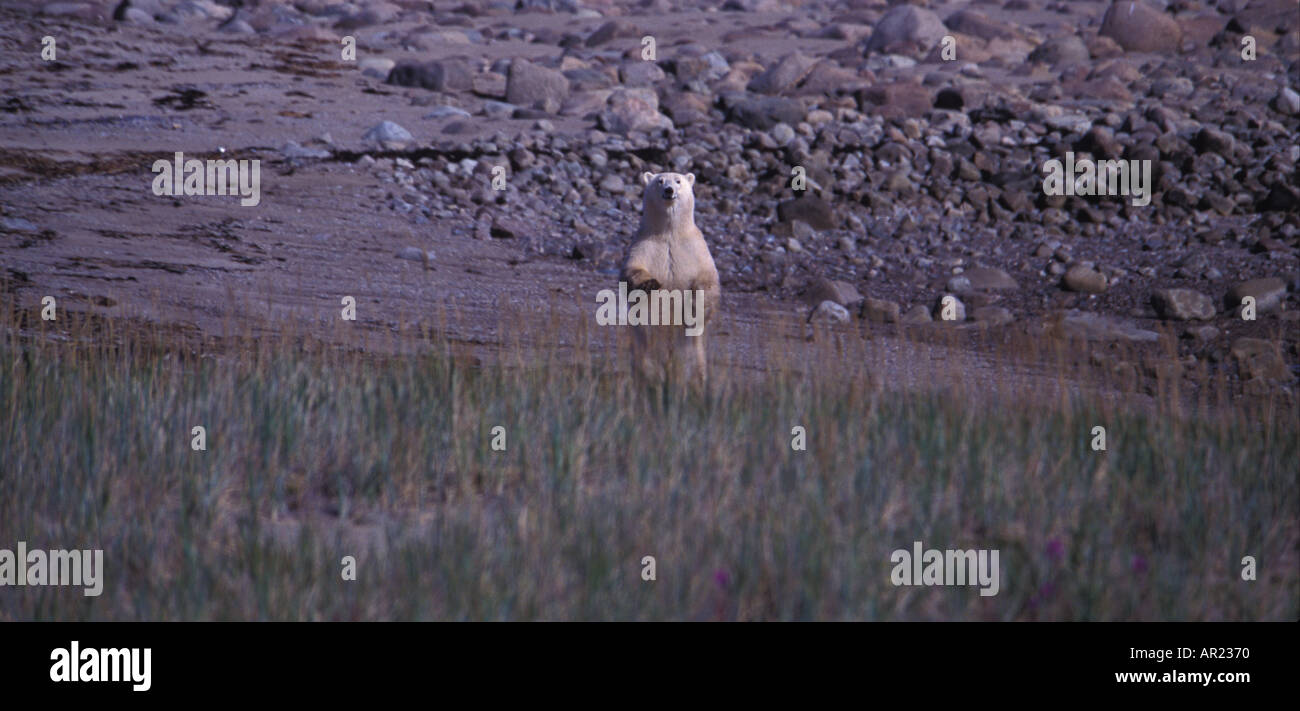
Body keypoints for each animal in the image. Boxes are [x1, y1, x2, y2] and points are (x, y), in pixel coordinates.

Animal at [620, 171, 721, 385]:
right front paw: (649, 283)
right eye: (660, 181)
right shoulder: (644, 244)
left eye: (678, 181)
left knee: (695, 373)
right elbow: (630, 271)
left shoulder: (696, 249)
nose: (669, 190)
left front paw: (694, 305)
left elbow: (708, 280)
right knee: (646, 369)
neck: (669, 233)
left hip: (693, 353)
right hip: (644, 351)